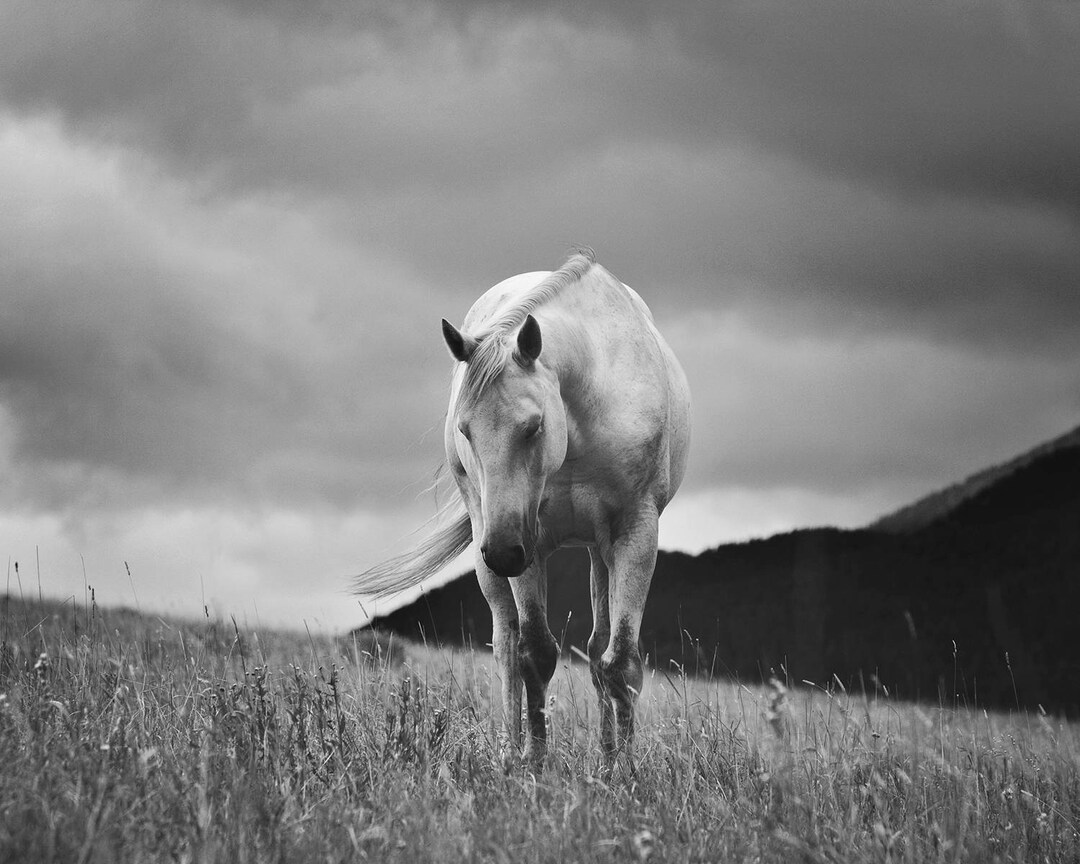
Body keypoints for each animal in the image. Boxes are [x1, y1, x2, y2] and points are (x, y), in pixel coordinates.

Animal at [357, 250, 691, 764]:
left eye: (532, 426)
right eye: (465, 430)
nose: (502, 552)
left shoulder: (635, 531)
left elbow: (620, 662)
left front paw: (623, 769)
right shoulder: (529, 539)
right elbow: (535, 652)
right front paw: (534, 762)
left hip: (594, 551)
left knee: (598, 650)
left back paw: (604, 753)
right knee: (507, 647)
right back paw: (510, 749)